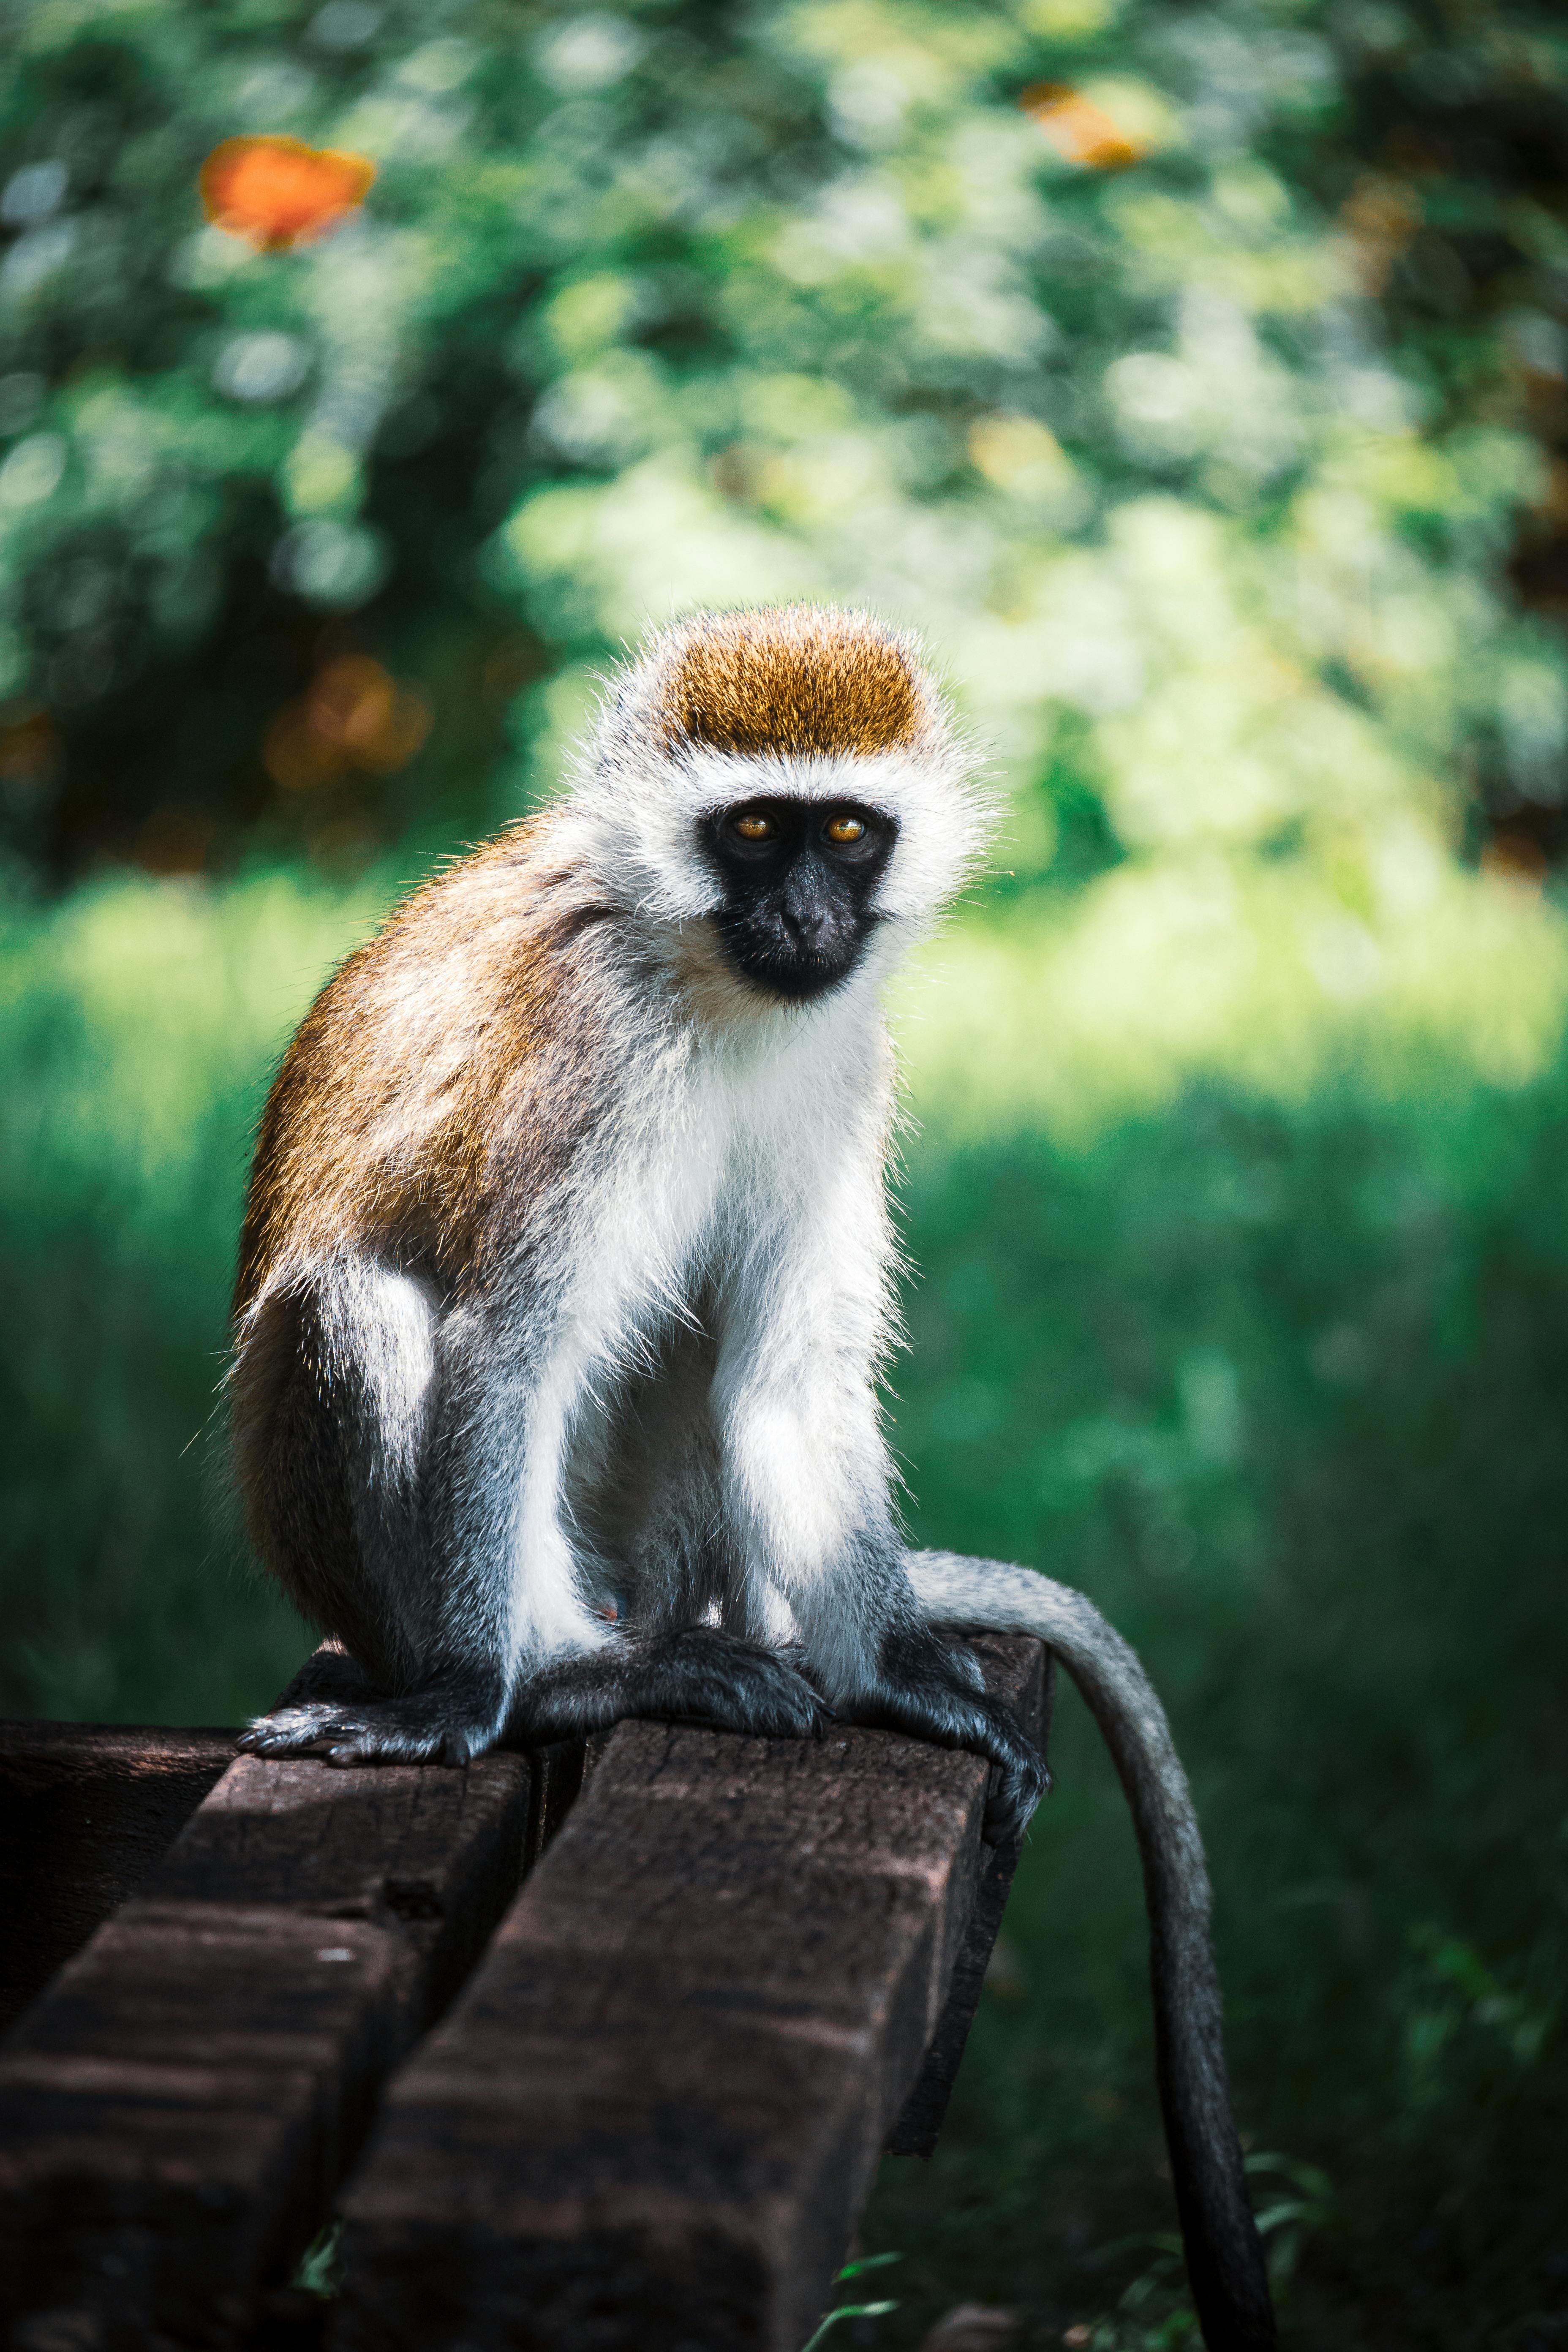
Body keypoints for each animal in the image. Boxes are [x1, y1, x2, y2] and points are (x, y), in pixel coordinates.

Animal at [229, 604, 1274, 2352]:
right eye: (755, 830)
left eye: (846, 833)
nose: (804, 913)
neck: (707, 983)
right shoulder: (582, 1052)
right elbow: (506, 1341)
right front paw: (463, 1700)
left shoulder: (841, 1054)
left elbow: (783, 1380)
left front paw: (897, 1675)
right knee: (361, 1303)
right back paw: (575, 1682)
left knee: (700, 1350)